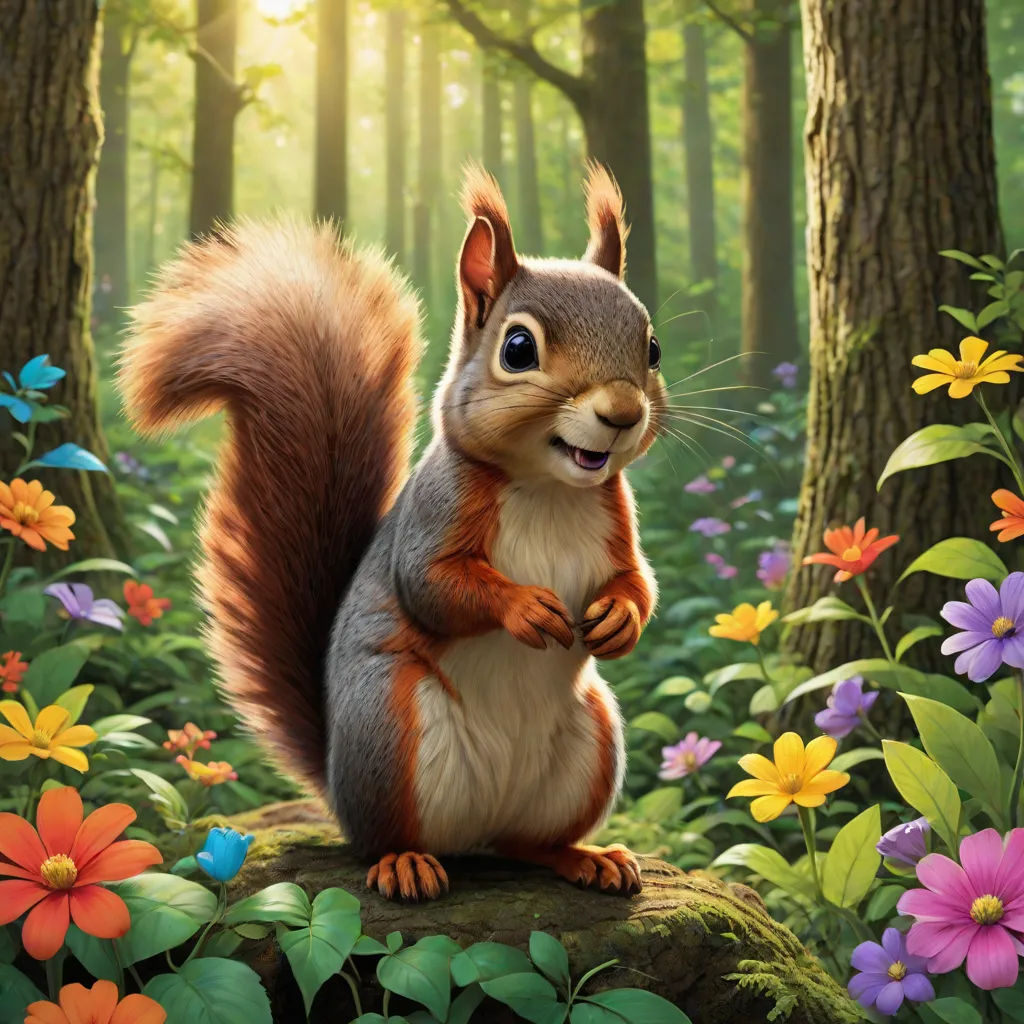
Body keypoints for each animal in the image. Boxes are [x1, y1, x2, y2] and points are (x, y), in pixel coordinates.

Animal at [119, 163, 667, 902]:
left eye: (652, 347)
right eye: (518, 348)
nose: (622, 413)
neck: (549, 487)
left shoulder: (618, 520)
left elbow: (636, 580)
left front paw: (619, 620)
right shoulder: (434, 516)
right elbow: (433, 585)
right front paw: (525, 607)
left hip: (592, 739)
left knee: (527, 843)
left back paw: (585, 857)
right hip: (391, 723)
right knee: (383, 839)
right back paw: (404, 863)